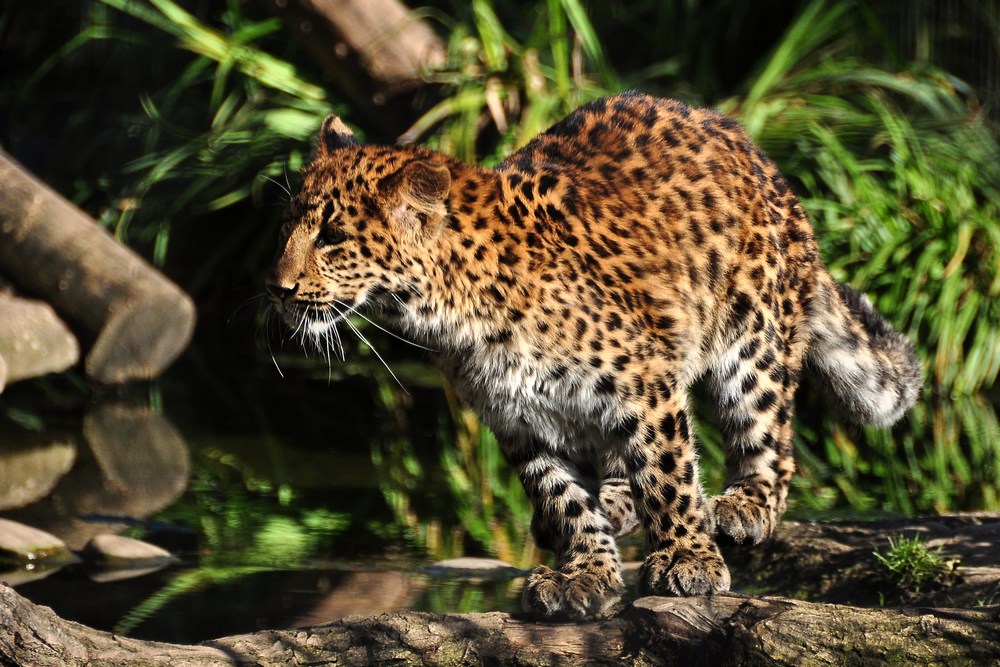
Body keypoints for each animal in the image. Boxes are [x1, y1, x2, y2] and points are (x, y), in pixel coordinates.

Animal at [266, 92, 921, 620]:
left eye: (332, 238)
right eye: (287, 226)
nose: (277, 288)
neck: (453, 314)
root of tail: (758, 154)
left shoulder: (646, 384)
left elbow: (668, 473)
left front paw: (686, 560)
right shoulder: (519, 418)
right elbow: (563, 500)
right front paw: (584, 572)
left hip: (754, 338)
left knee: (771, 440)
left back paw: (742, 506)